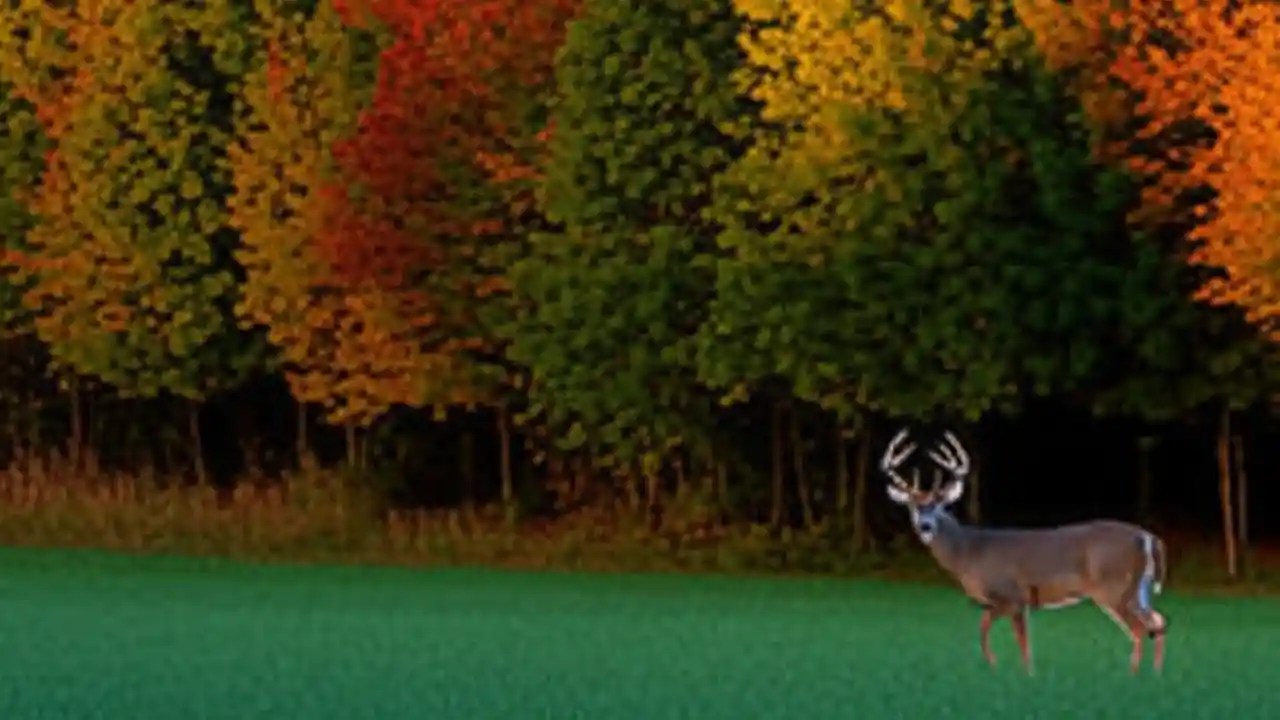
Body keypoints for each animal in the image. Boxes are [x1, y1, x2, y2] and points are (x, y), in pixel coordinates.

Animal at [880, 428, 1168, 675]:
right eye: (912, 506)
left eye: (941, 505)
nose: (926, 526)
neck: (969, 552)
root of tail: (1146, 537)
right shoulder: (1005, 601)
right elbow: (988, 627)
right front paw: (997, 666)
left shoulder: (1013, 594)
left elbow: (1015, 638)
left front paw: (1023, 673)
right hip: (1139, 589)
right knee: (1158, 621)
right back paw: (1155, 674)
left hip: (1113, 587)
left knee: (1140, 628)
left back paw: (1132, 675)